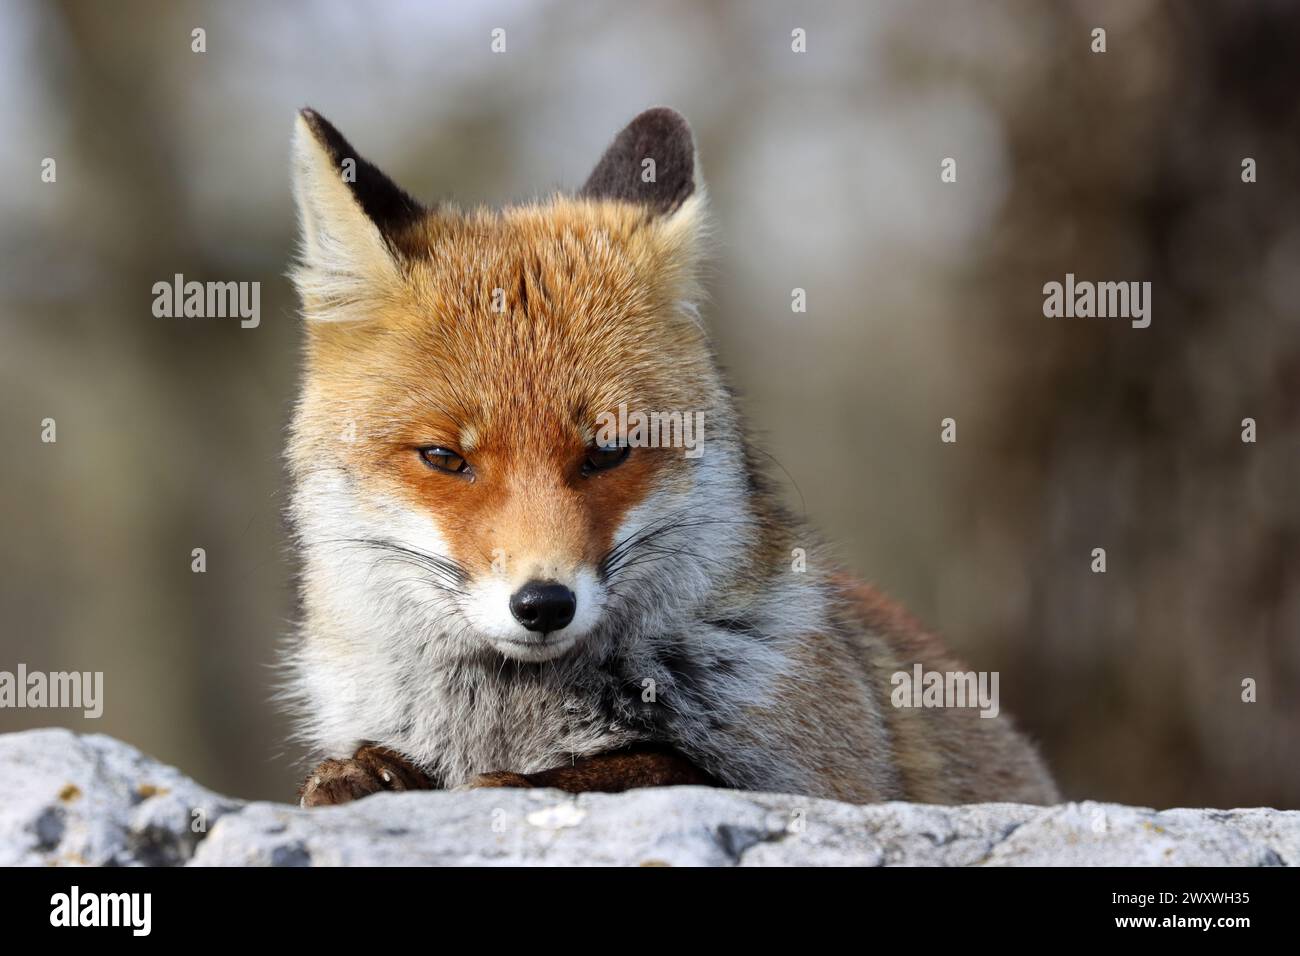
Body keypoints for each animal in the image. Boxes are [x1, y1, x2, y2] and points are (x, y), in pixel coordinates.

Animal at [284, 106, 1059, 807]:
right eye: (444, 457)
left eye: (608, 451)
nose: (543, 604)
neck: (512, 711)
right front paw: (365, 774)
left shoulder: (830, 782)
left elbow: (654, 767)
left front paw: (531, 779)